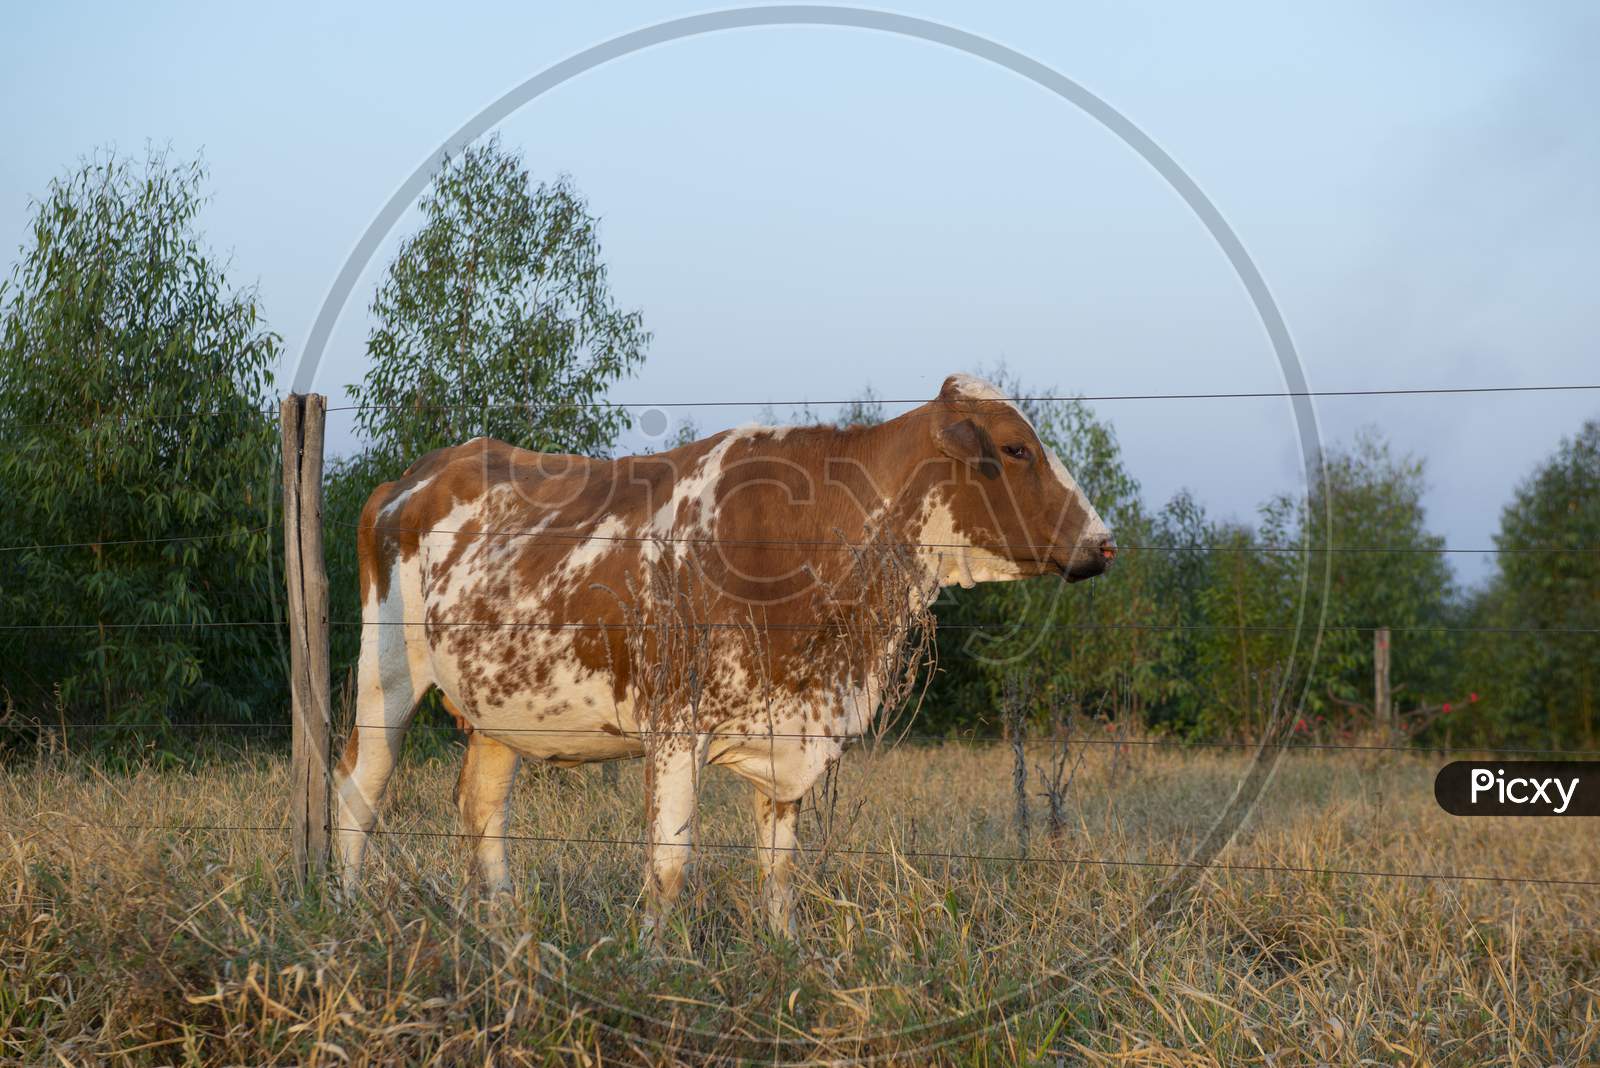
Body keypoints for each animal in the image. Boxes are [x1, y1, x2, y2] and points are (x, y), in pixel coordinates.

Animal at [333, 373, 1114, 935]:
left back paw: (508, 934)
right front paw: (649, 964)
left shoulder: (794, 732)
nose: (1104, 542)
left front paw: (786, 958)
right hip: (386, 673)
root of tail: (422, 471)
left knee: (482, 809)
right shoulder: (676, 728)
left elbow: (779, 875)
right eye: (1015, 449)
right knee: (357, 791)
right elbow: (669, 868)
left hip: (499, 707)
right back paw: (345, 916)